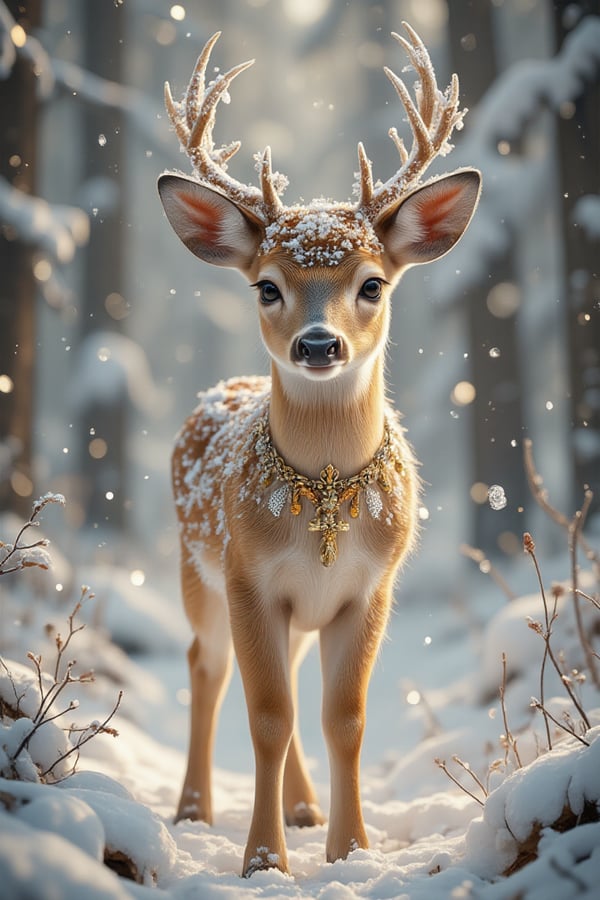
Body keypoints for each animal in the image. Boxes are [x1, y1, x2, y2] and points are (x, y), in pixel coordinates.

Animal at [157, 23, 480, 878]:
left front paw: (349, 849)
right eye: (266, 285)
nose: (317, 343)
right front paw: (264, 859)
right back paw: (193, 808)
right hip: (195, 572)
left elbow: (344, 718)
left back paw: (304, 807)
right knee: (206, 668)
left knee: (292, 685)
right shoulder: (250, 579)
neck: (326, 493)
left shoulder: (370, 587)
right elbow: (266, 714)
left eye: (373, 283)